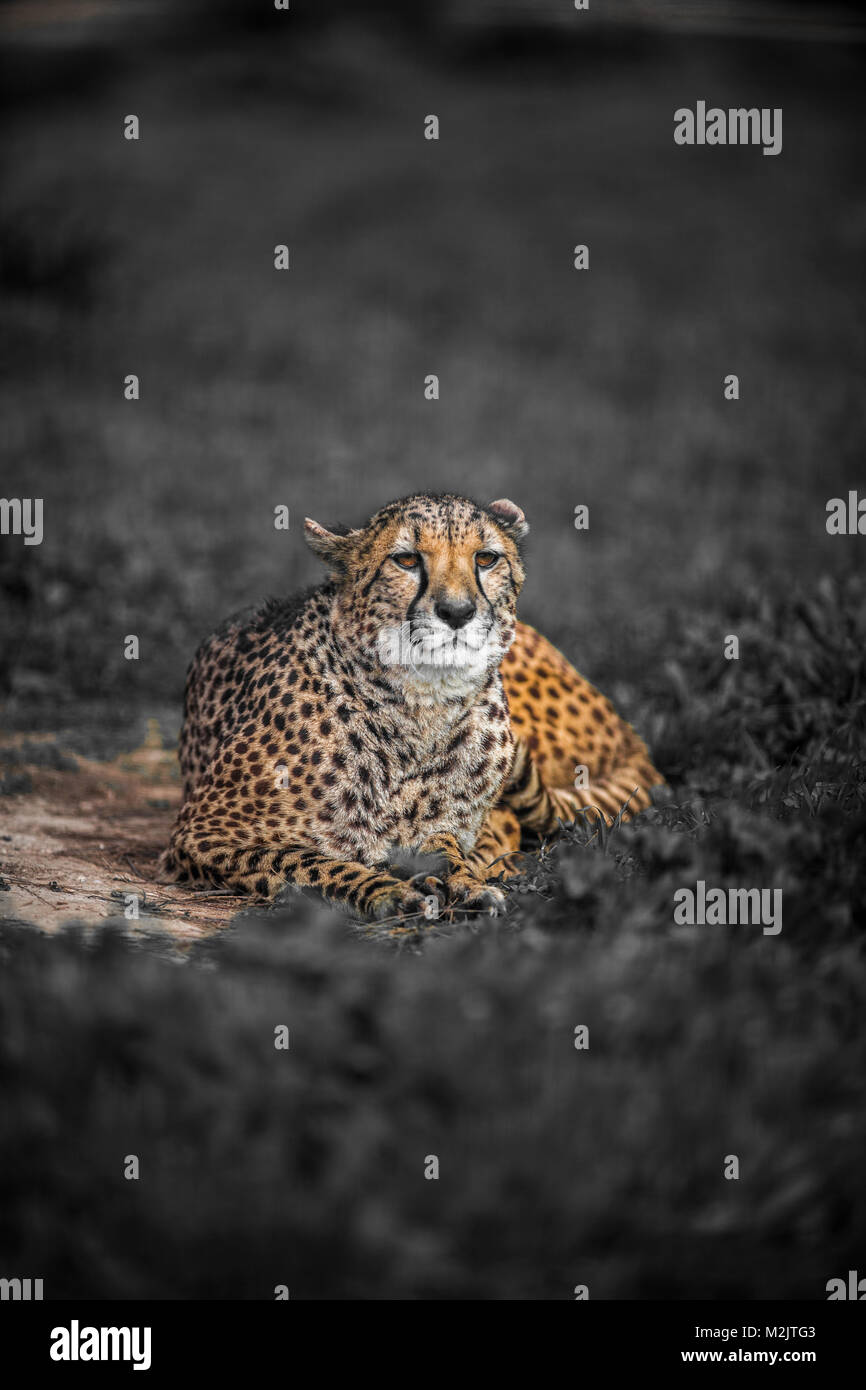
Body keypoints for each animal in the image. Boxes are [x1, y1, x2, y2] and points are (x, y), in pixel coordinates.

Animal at [161, 492, 664, 921]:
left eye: (486, 558)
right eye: (406, 560)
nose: (457, 612)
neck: (420, 708)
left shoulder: (448, 822)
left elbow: (449, 847)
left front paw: (463, 881)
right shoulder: (203, 833)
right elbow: (310, 859)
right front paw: (386, 889)